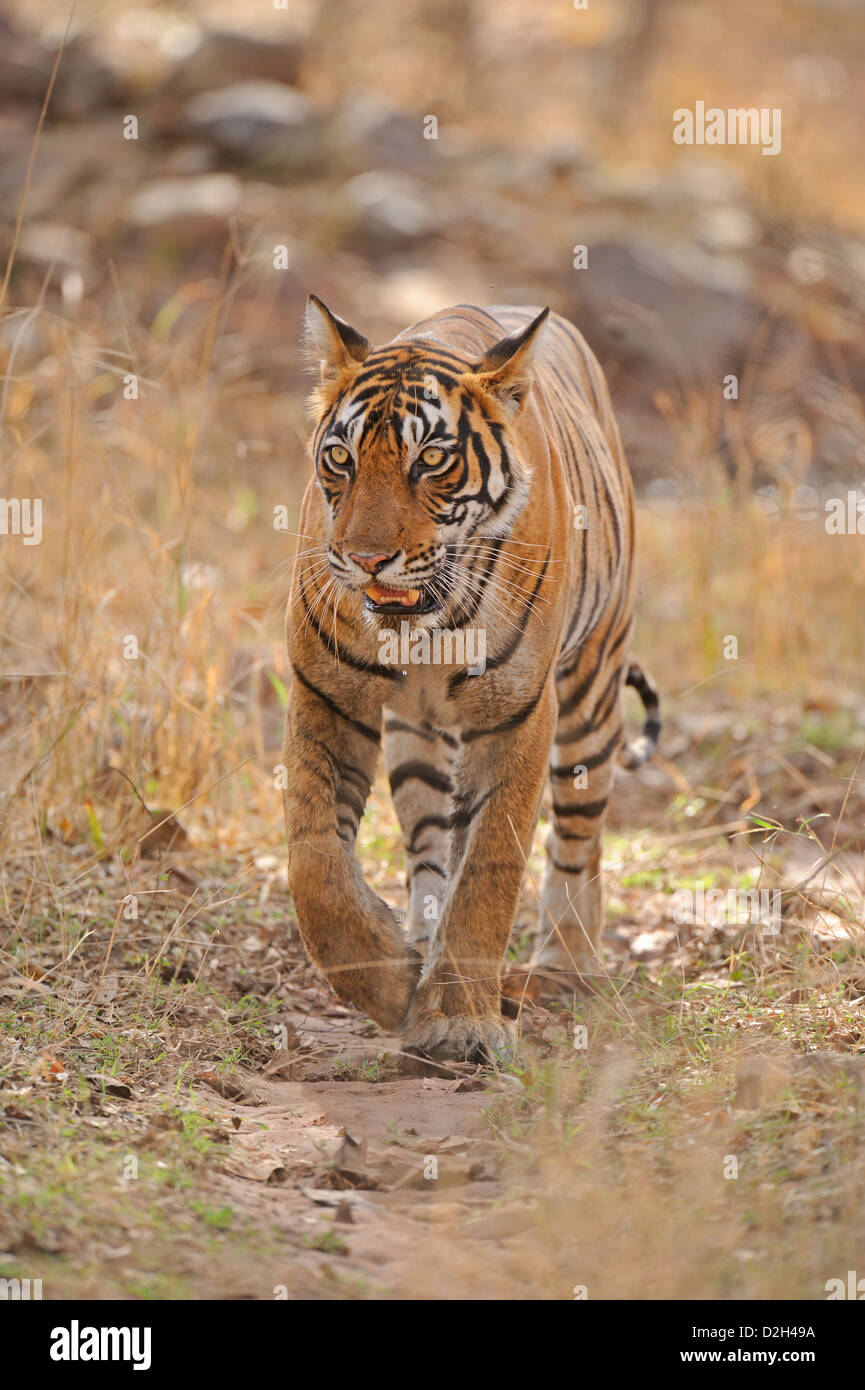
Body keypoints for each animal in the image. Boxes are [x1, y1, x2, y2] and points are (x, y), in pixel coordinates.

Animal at [282, 296, 660, 1064]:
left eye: (431, 460)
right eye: (340, 457)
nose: (365, 560)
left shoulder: (517, 712)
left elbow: (490, 865)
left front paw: (459, 1019)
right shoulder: (326, 692)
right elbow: (315, 860)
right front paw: (391, 980)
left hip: (591, 694)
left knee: (577, 839)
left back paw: (566, 965)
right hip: (417, 741)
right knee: (431, 843)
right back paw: (423, 944)